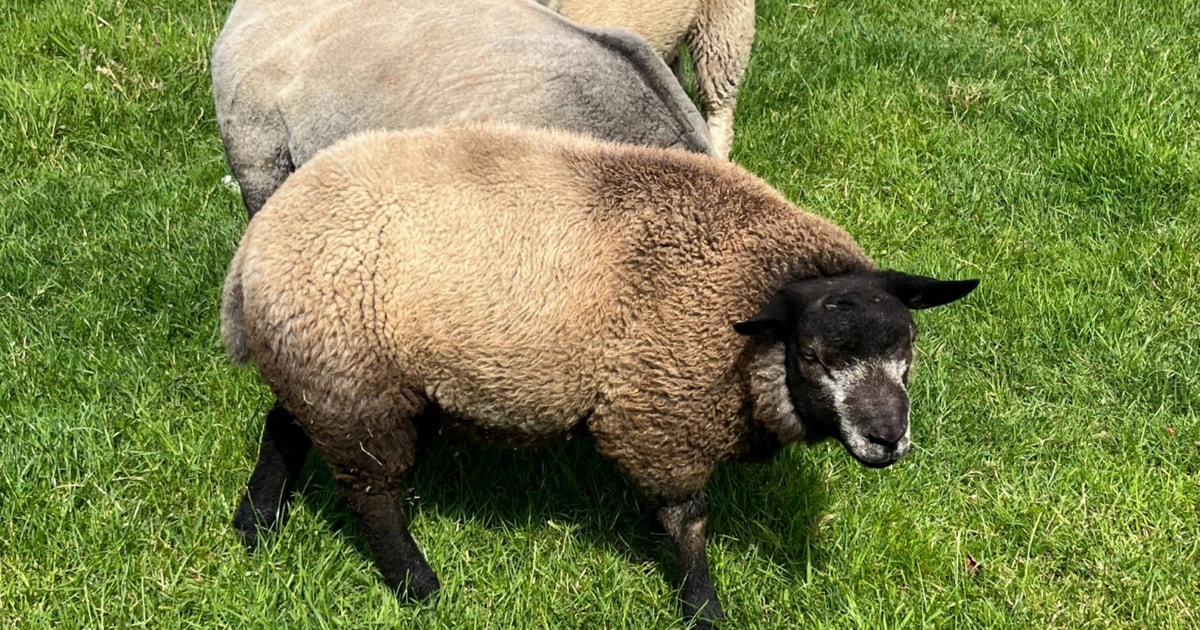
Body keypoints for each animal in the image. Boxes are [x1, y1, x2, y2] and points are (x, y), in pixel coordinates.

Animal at [221, 124, 979, 628]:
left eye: (909, 347)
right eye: (816, 358)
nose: (888, 438)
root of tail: (257, 242)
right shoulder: (662, 416)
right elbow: (687, 521)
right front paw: (701, 608)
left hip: (332, 369)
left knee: (284, 424)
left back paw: (256, 523)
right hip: (355, 382)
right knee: (371, 492)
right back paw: (418, 586)